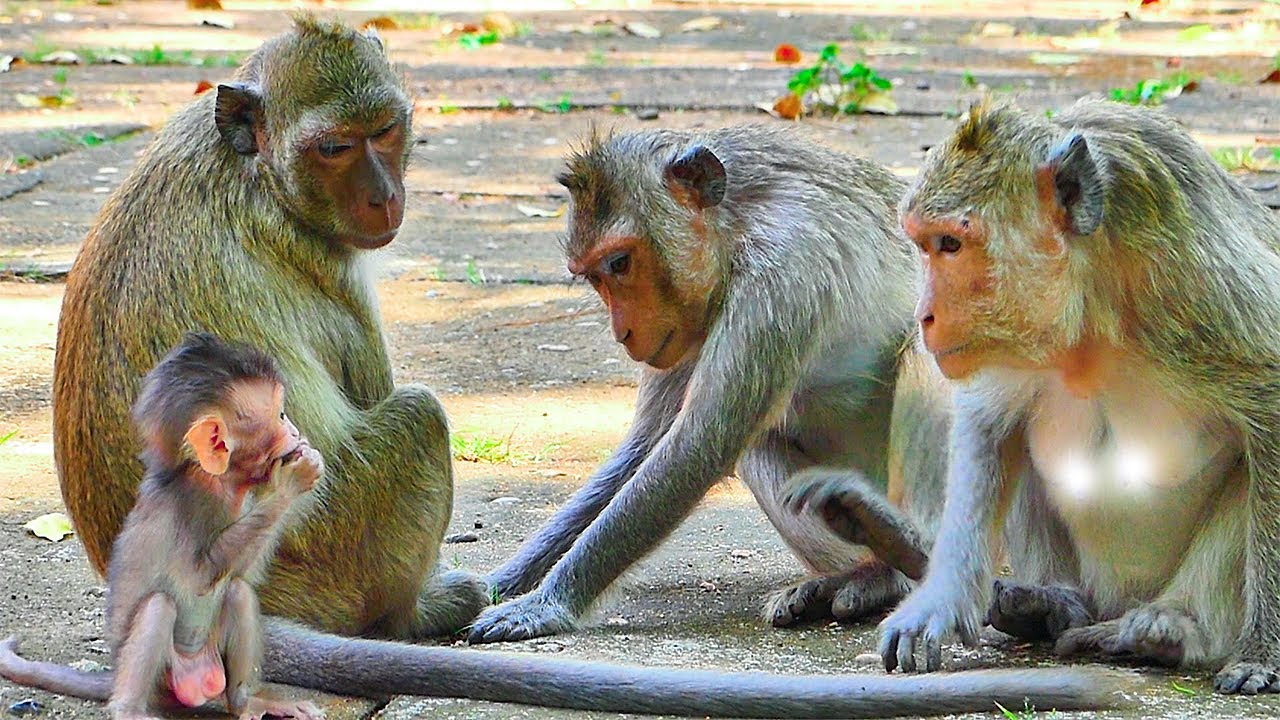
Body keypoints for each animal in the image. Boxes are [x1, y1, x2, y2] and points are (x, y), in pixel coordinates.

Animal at [3, 333, 324, 719]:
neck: (216, 481)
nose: (294, 429)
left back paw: (246, 702)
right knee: (159, 607)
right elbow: (198, 577)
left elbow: (240, 575)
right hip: (164, 676)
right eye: (280, 414)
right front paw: (291, 481)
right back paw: (128, 709)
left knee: (238, 592)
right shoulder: (188, 505)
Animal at [51, 15, 488, 640]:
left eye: (384, 130)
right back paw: (409, 612)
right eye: (334, 148)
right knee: (418, 417)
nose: (383, 197)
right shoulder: (335, 270)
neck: (255, 168)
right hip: (334, 559)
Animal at [471, 124, 966, 645]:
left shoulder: (782, 273)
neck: (736, 228)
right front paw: (499, 584)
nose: (622, 332)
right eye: (592, 277)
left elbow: (699, 446)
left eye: (621, 263)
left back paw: (911, 552)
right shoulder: (687, 328)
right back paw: (864, 574)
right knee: (762, 442)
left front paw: (545, 603)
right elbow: (646, 448)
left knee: (925, 353)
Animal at [875, 97, 1280, 695]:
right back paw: (1050, 603)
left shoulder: (1197, 290)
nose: (924, 314)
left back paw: (1169, 627)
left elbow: (1270, 406)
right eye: (923, 244)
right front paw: (938, 603)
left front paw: (1264, 653)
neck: (1087, 306)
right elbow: (986, 426)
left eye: (950, 244)